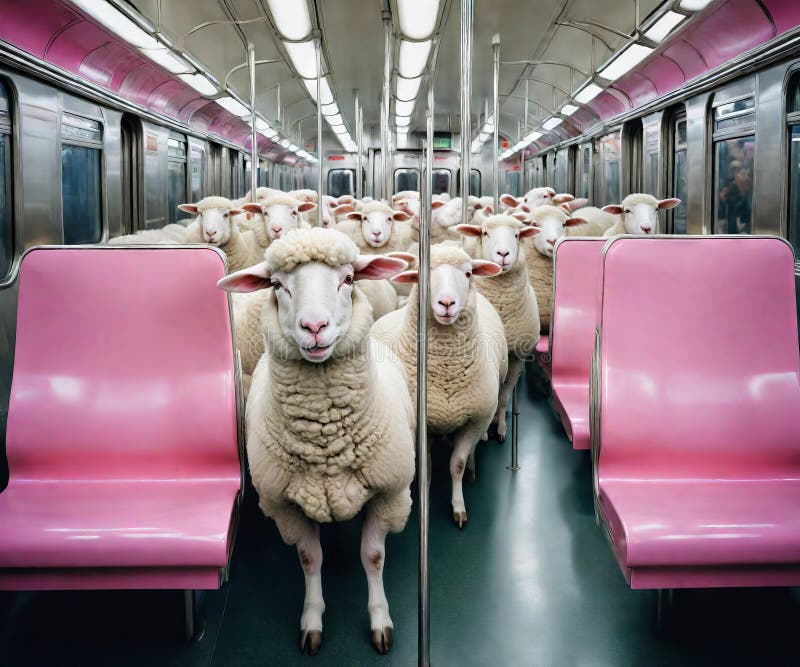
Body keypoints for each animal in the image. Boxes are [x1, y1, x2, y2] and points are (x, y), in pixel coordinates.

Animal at [217, 228, 413, 655]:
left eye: (349, 279)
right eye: (277, 285)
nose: (314, 326)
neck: (326, 441)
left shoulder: (388, 494)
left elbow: (373, 557)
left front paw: (380, 619)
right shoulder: (284, 505)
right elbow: (310, 559)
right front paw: (312, 619)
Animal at [371, 243, 508, 528]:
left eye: (468, 273)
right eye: (423, 273)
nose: (446, 303)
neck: (447, 370)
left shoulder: (476, 419)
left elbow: (456, 464)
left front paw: (458, 506)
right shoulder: (422, 426)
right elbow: (427, 468)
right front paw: (424, 497)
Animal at [454, 216, 541, 442]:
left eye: (517, 234)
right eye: (485, 233)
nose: (503, 254)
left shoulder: (517, 358)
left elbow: (502, 397)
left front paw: (500, 428)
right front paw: (484, 433)